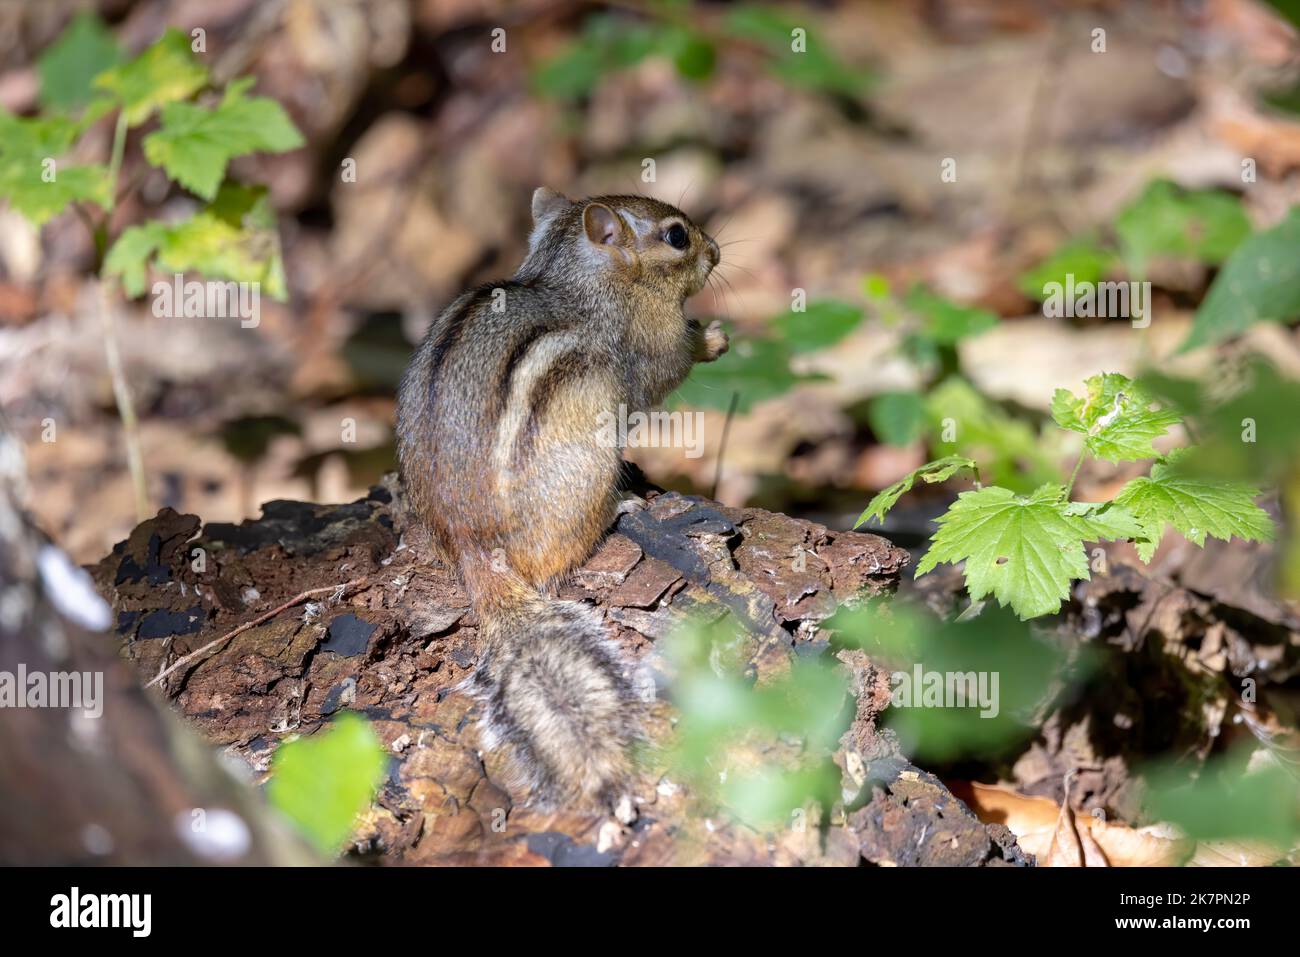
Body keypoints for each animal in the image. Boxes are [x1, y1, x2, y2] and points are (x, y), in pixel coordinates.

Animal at [396, 188, 728, 810]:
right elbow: (669, 367)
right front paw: (712, 339)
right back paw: (621, 508)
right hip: (586, 470)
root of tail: (475, 551)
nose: (718, 251)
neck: (578, 277)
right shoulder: (650, 343)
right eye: (677, 237)